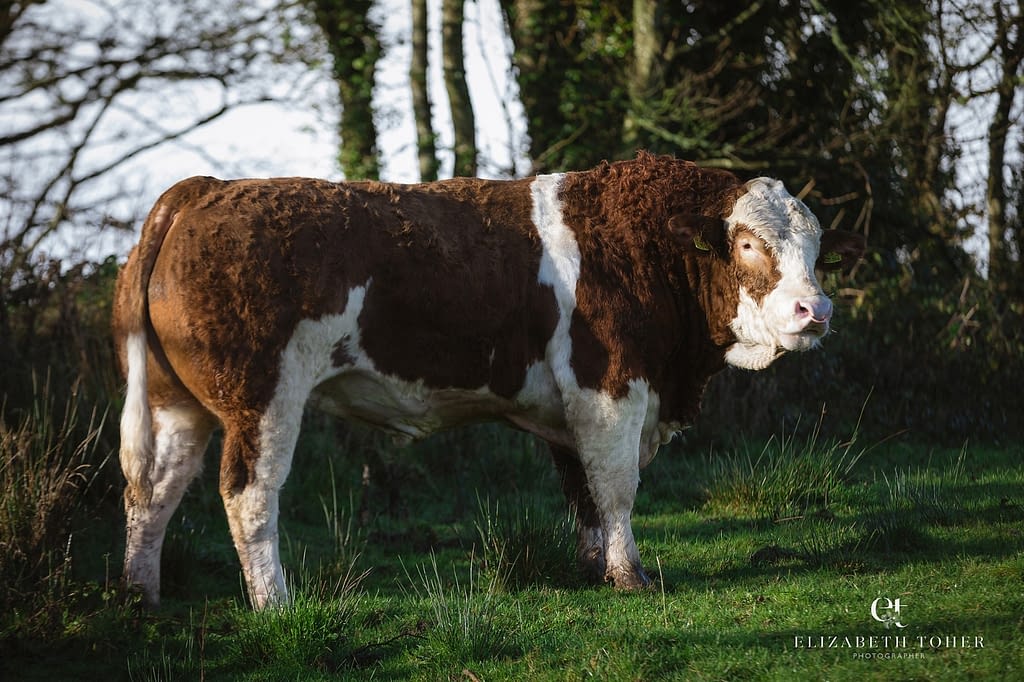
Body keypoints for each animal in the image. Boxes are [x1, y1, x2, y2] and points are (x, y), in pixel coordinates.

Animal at [113, 152, 864, 608]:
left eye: (817, 252)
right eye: (748, 245)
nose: (816, 311)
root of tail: (209, 190)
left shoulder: (570, 413)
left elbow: (584, 496)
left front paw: (594, 569)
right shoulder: (611, 389)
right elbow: (616, 489)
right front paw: (631, 576)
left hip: (177, 403)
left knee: (152, 490)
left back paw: (140, 596)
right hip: (261, 398)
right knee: (248, 494)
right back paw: (275, 603)